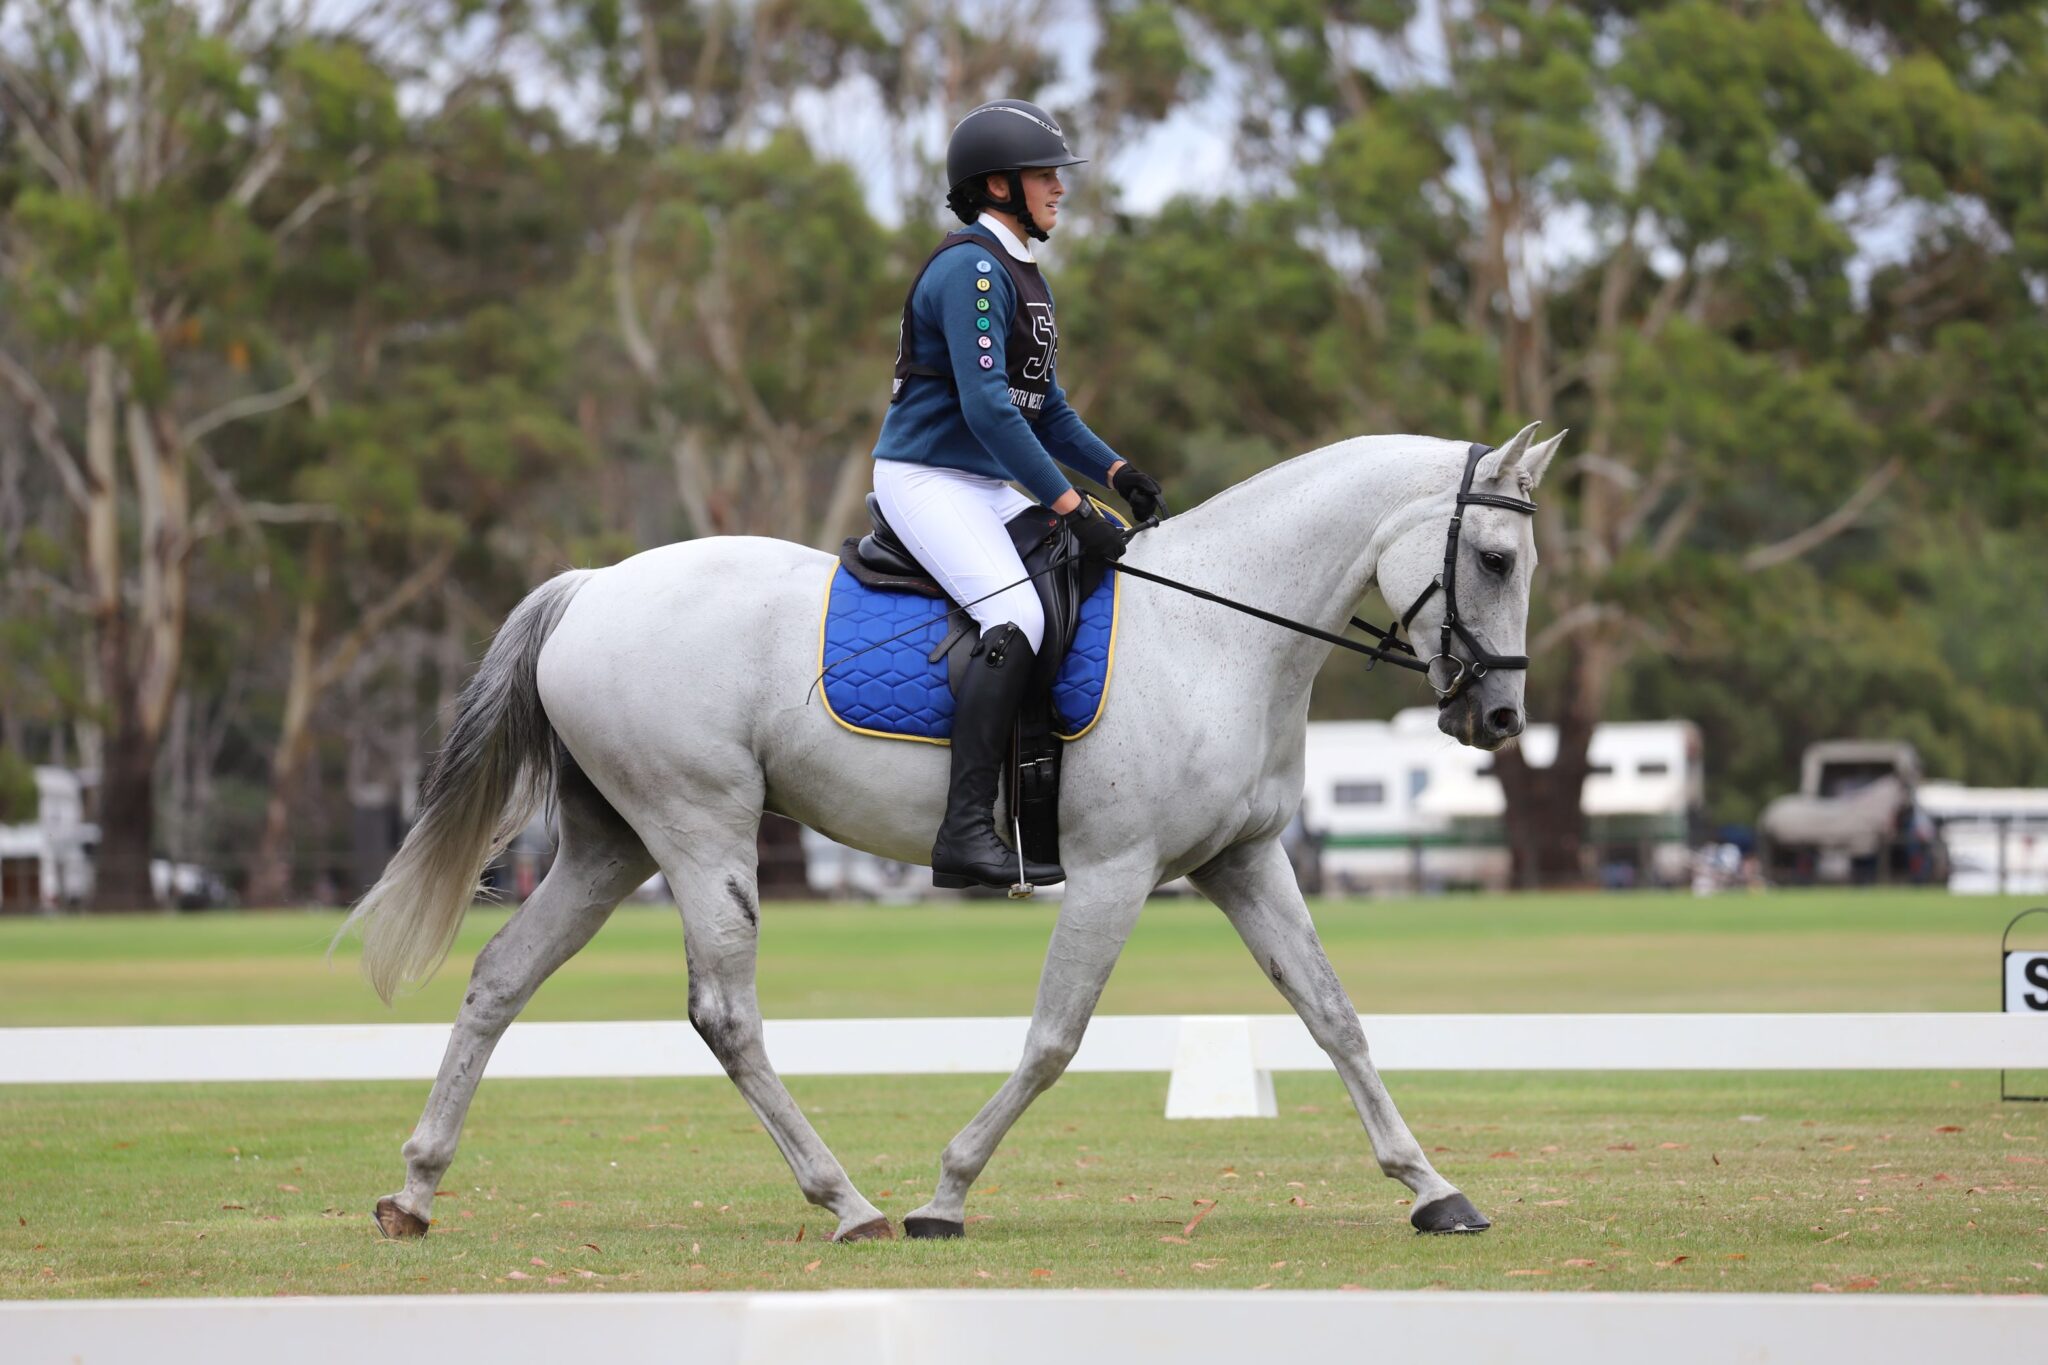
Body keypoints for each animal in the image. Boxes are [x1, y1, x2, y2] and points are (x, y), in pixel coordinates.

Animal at [339, 422, 1564, 1244]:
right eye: (1495, 561)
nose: (1499, 721)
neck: (1217, 632)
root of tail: (592, 589)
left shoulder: (1242, 860)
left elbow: (1333, 1017)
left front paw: (1433, 1189)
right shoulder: (1116, 872)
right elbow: (1055, 1037)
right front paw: (948, 1191)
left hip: (613, 844)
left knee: (501, 976)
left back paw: (415, 1189)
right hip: (700, 826)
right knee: (725, 1013)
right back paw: (849, 1203)